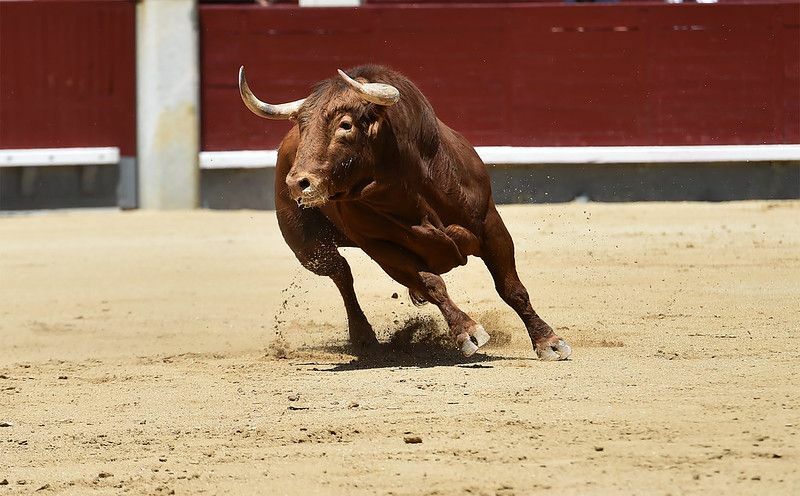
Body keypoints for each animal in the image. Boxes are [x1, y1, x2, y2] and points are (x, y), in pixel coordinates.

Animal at [238, 65, 568, 360]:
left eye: (345, 125)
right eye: (303, 126)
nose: (297, 183)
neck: (409, 188)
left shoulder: (491, 225)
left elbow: (511, 287)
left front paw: (548, 341)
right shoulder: (383, 249)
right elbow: (432, 283)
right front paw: (467, 331)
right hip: (309, 250)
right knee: (342, 274)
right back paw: (364, 338)